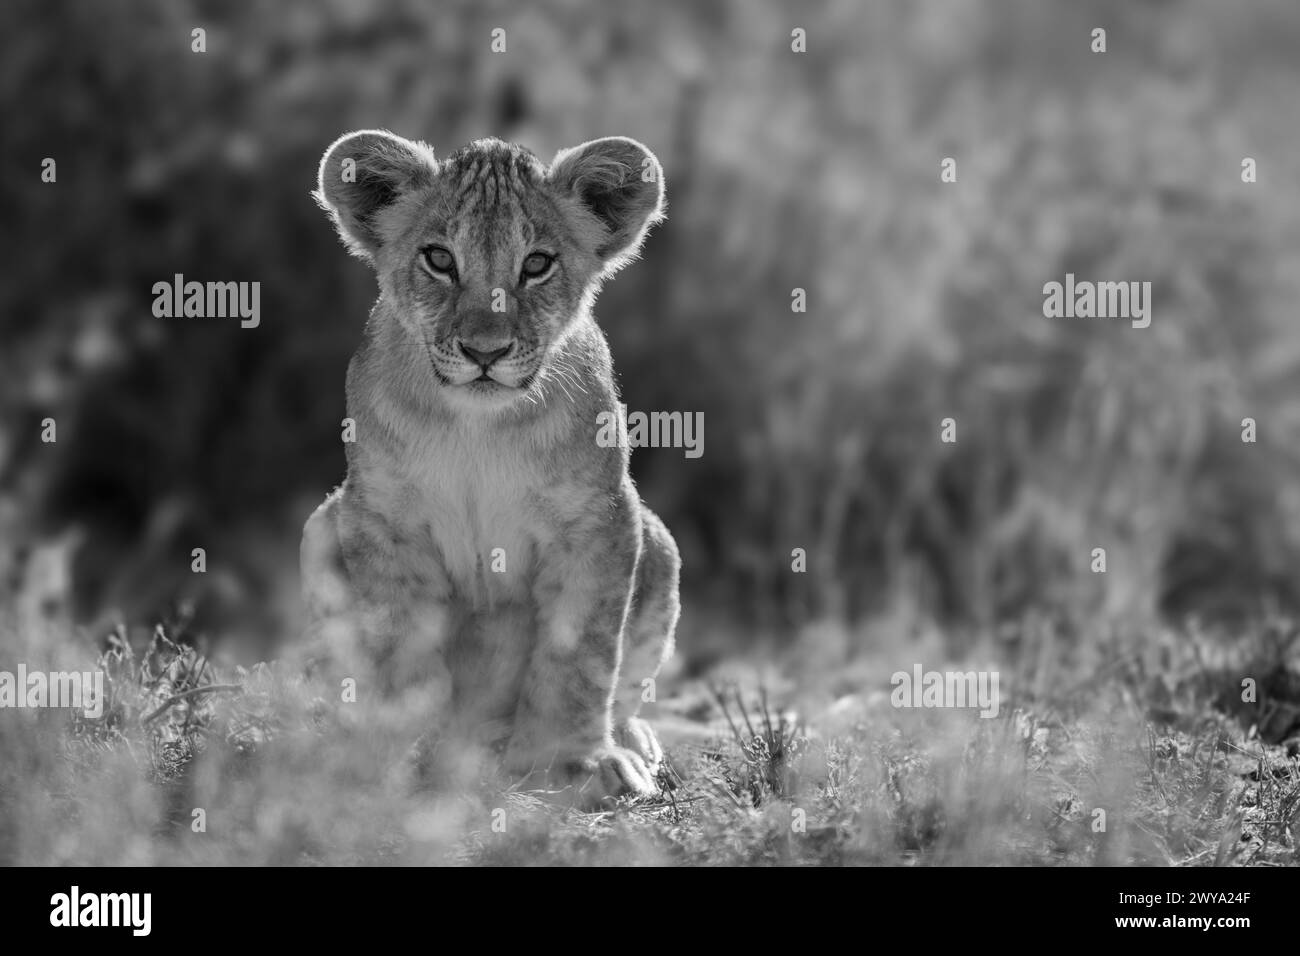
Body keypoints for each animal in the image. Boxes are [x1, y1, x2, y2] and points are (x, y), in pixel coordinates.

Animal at [300, 130, 681, 806]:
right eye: (439, 259)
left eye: (537, 264)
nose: (485, 352)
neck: (479, 428)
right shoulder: (381, 519)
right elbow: (401, 646)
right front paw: (396, 753)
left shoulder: (599, 522)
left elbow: (579, 656)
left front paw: (576, 761)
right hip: (324, 524)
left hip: (658, 543)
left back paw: (628, 740)